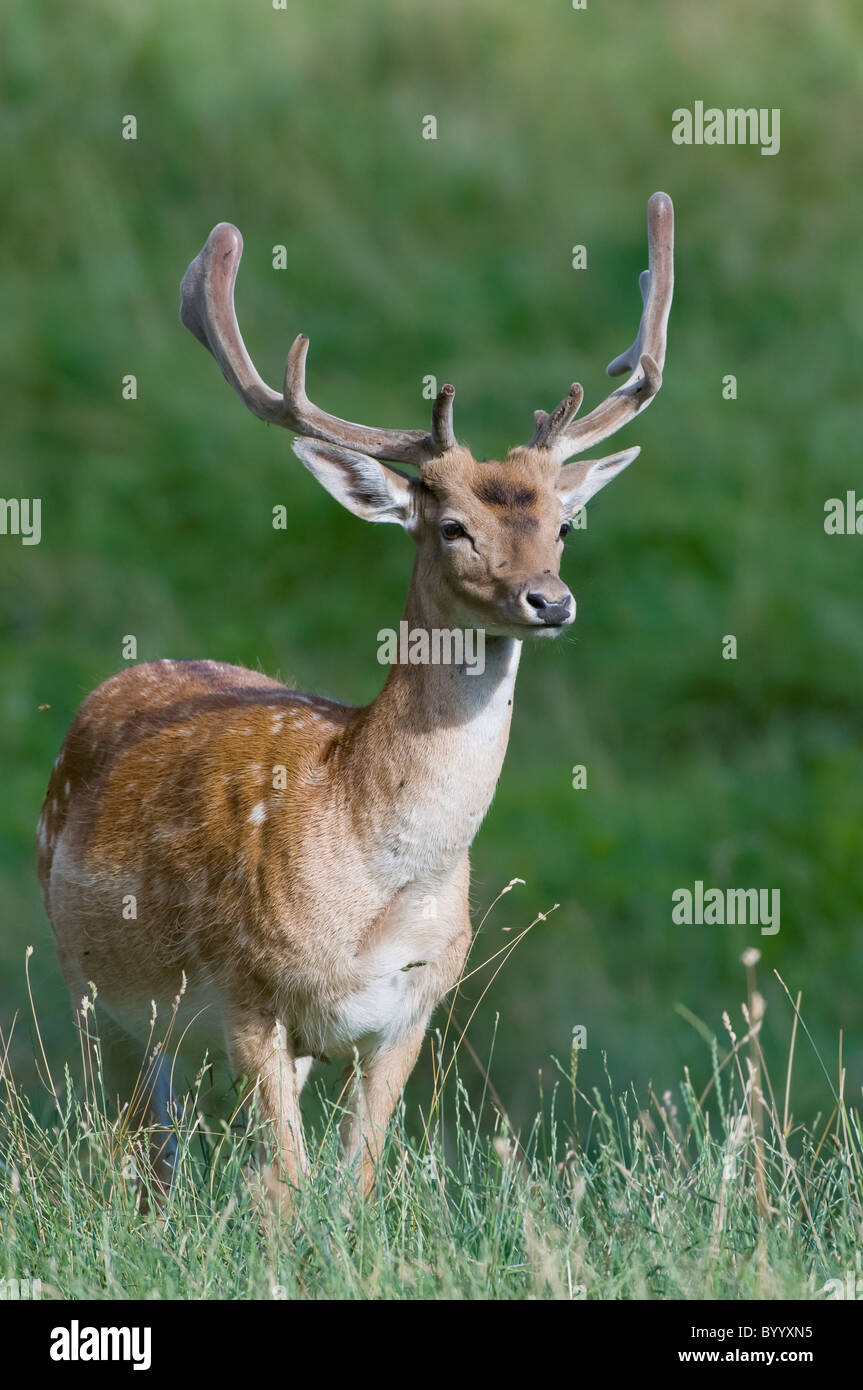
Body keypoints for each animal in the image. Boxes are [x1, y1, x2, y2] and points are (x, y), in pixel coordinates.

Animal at [37, 192, 673, 1204]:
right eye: (451, 526)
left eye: (563, 524)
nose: (550, 600)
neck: (377, 884)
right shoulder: (246, 989)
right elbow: (290, 1189)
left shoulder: (415, 1005)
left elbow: (352, 1180)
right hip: (94, 990)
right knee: (149, 1148)